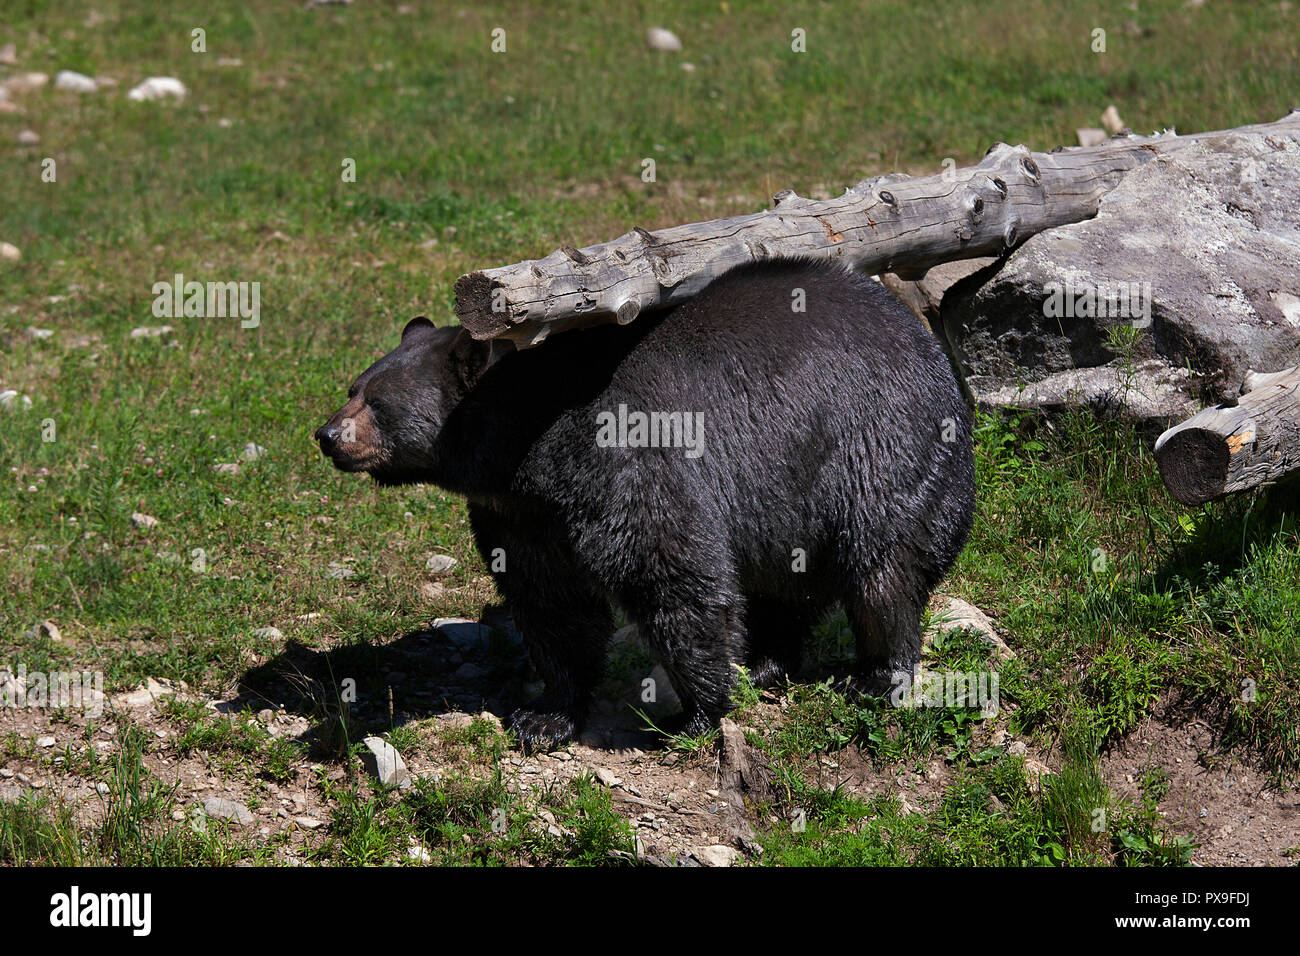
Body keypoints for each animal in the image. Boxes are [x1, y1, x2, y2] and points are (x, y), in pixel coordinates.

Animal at [316, 258, 976, 752]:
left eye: (377, 401)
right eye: (353, 386)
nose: (326, 434)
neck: (526, 449)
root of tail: (919, 333)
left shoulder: (623, 457)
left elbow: (668, 570)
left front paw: (695, 713)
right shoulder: (520, 515)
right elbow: (553, 603)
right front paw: (546, 716)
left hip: (879, 446)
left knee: (882, 570)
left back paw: (876, 675)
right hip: (793, 497)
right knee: (786, 585)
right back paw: (767, 660)